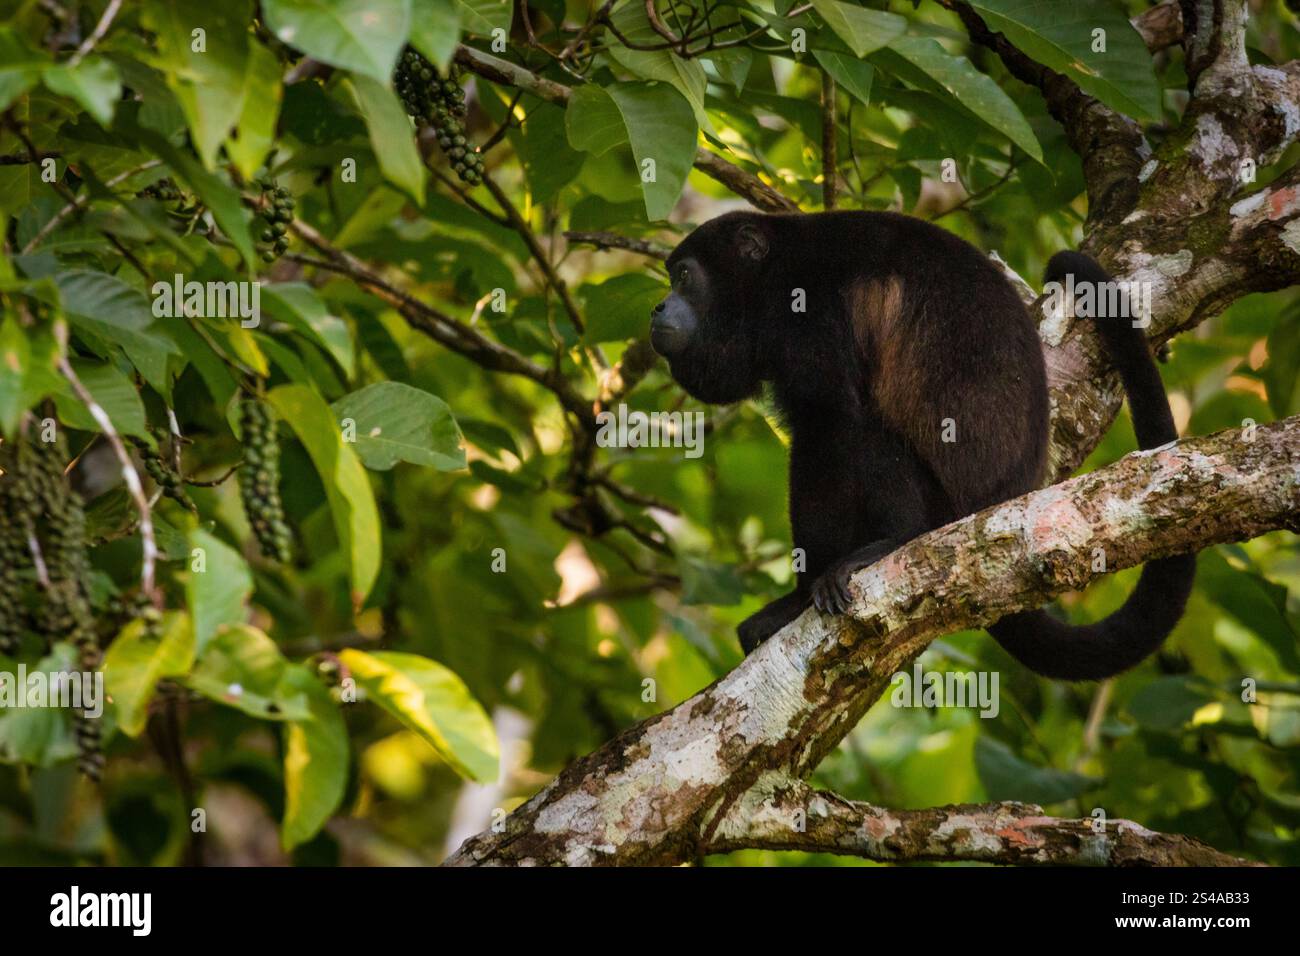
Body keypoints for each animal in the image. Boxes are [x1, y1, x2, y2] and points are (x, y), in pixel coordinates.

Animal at [649, 210, 1195, 681]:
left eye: (684, 276)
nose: (657, 306)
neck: (770, 277)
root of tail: (1002, 501)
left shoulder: (808, 315)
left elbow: (831, 422)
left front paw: (798, 597)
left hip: (945, 506)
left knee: (863, 433)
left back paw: (893, 540)